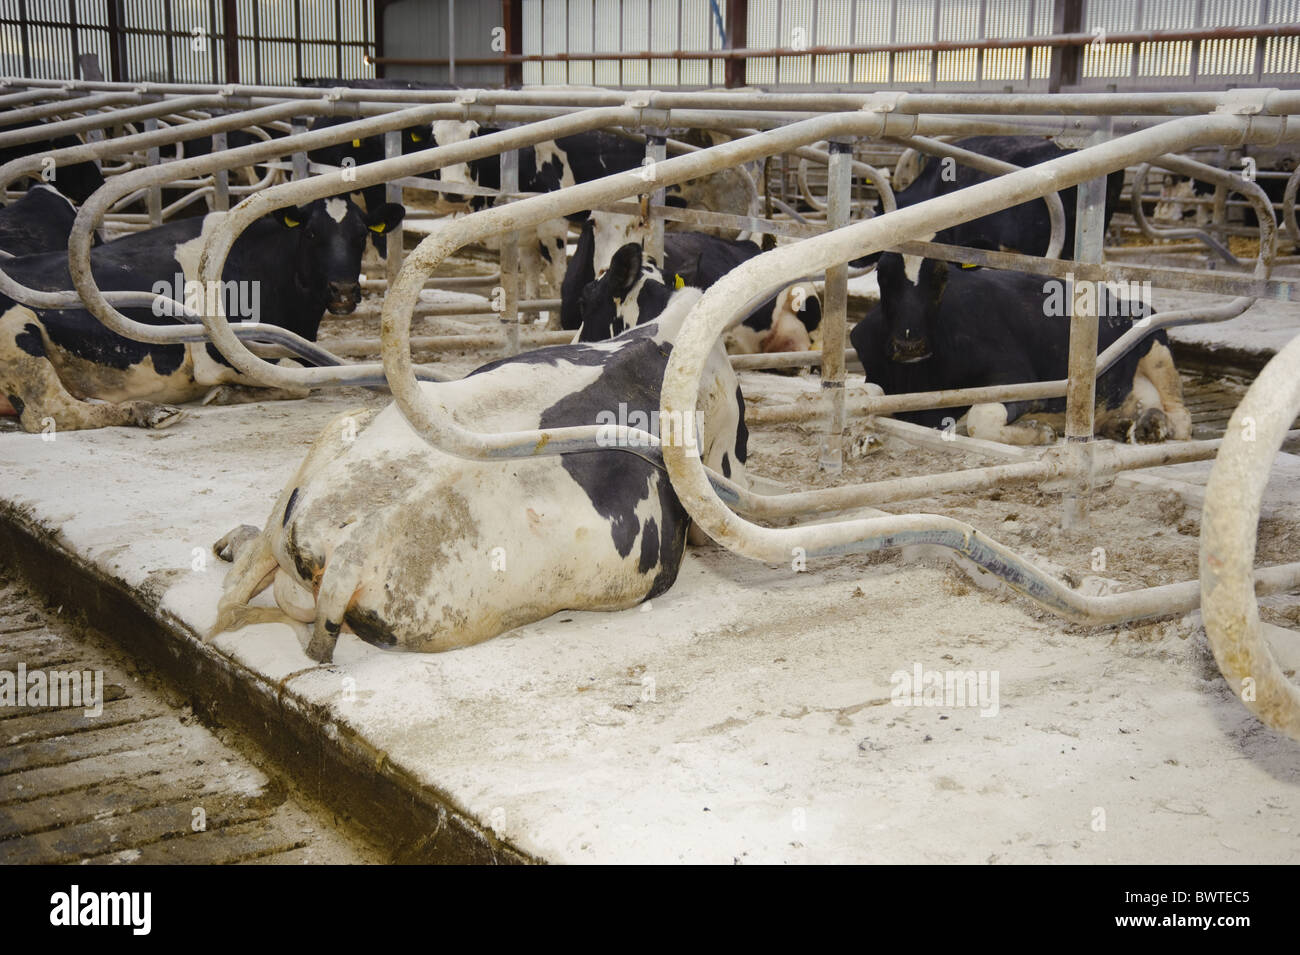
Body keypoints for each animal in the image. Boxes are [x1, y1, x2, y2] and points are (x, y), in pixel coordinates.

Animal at [0, 195, 405, 432]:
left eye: (361, 236)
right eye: (311, 235)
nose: (343, 291)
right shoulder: (220, 352)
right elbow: (298, 381)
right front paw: (225, 394)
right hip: (19, 335)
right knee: (50, 412)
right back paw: (148, 411)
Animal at [849, 251, 1191, 445]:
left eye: (942, 275)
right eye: (882, 274)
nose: (909, 343)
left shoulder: (1016, 377)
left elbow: (980, 419)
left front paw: (1040, 432)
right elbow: (862, 395)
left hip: (1156, 344)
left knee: (1183, 418)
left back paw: (1153, 426)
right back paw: (1130, 425)